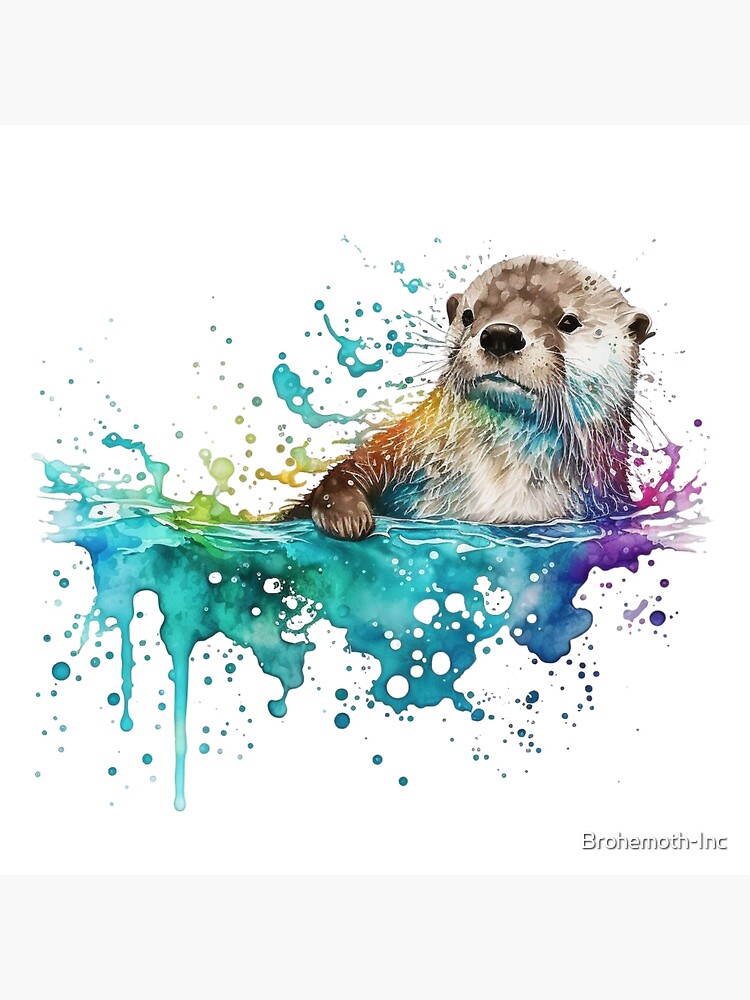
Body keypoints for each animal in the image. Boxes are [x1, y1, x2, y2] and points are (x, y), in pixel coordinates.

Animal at [281, 256, 653, 541]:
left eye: (569, 321)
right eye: (469, 315)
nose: (501, 335)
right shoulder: (400, 447)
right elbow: (345, 471)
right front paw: (346, 517)